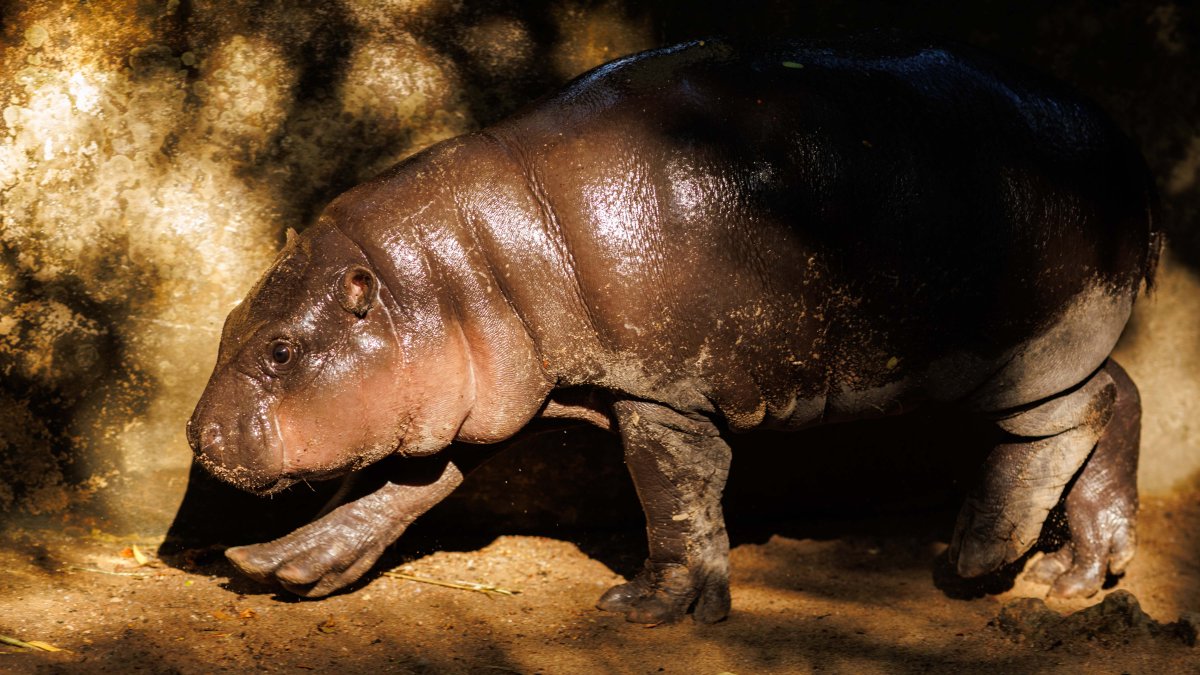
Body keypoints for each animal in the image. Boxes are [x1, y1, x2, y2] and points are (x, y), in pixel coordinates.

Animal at [187, 36, 1160, 624]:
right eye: (229, 319)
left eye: (281, 349)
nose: (199, 434)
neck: (462, 268)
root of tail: (1123, 140)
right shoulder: (481, 395)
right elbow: (394, 489)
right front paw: (276, 565)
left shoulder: (657, 393)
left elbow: (675, 497)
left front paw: (644, 608)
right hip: (1060, 340)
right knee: (1120, 393)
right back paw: (1075, 576)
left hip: (1031, 345)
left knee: (1059, 423)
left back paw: (975, 559)